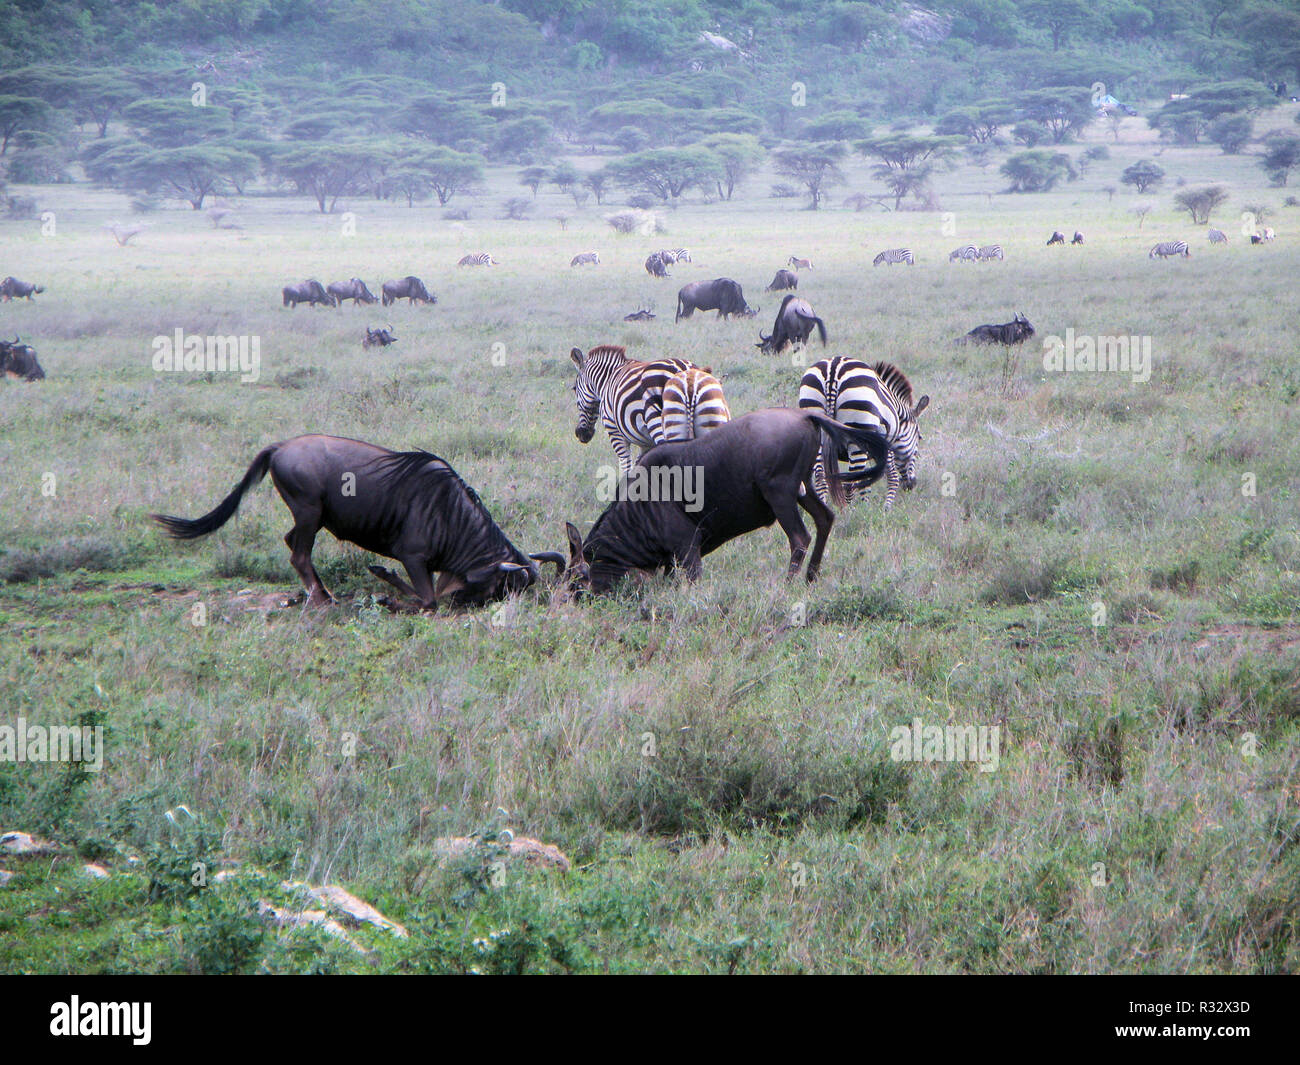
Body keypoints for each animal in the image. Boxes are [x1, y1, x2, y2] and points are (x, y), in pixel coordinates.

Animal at [153, 434, 565, 610]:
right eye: (502, 587)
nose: (466, 605)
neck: (452, 516)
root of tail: (280, 447)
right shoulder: (412, 557)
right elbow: (427, 600)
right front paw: (386, 591)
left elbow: (428, 596)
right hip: (309, 513)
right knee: (298, 554)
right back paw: (322, 598)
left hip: (312, 518)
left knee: (291, 543)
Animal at [564, 408, 889, 594]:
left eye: (576, 582)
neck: (639, 507)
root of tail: (804, 416)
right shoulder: (672, 560)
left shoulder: (688, 550)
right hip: (805, 488)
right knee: (825, 519)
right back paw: (810, 578)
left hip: (781, 495)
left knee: (800, 538)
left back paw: (788, 586)